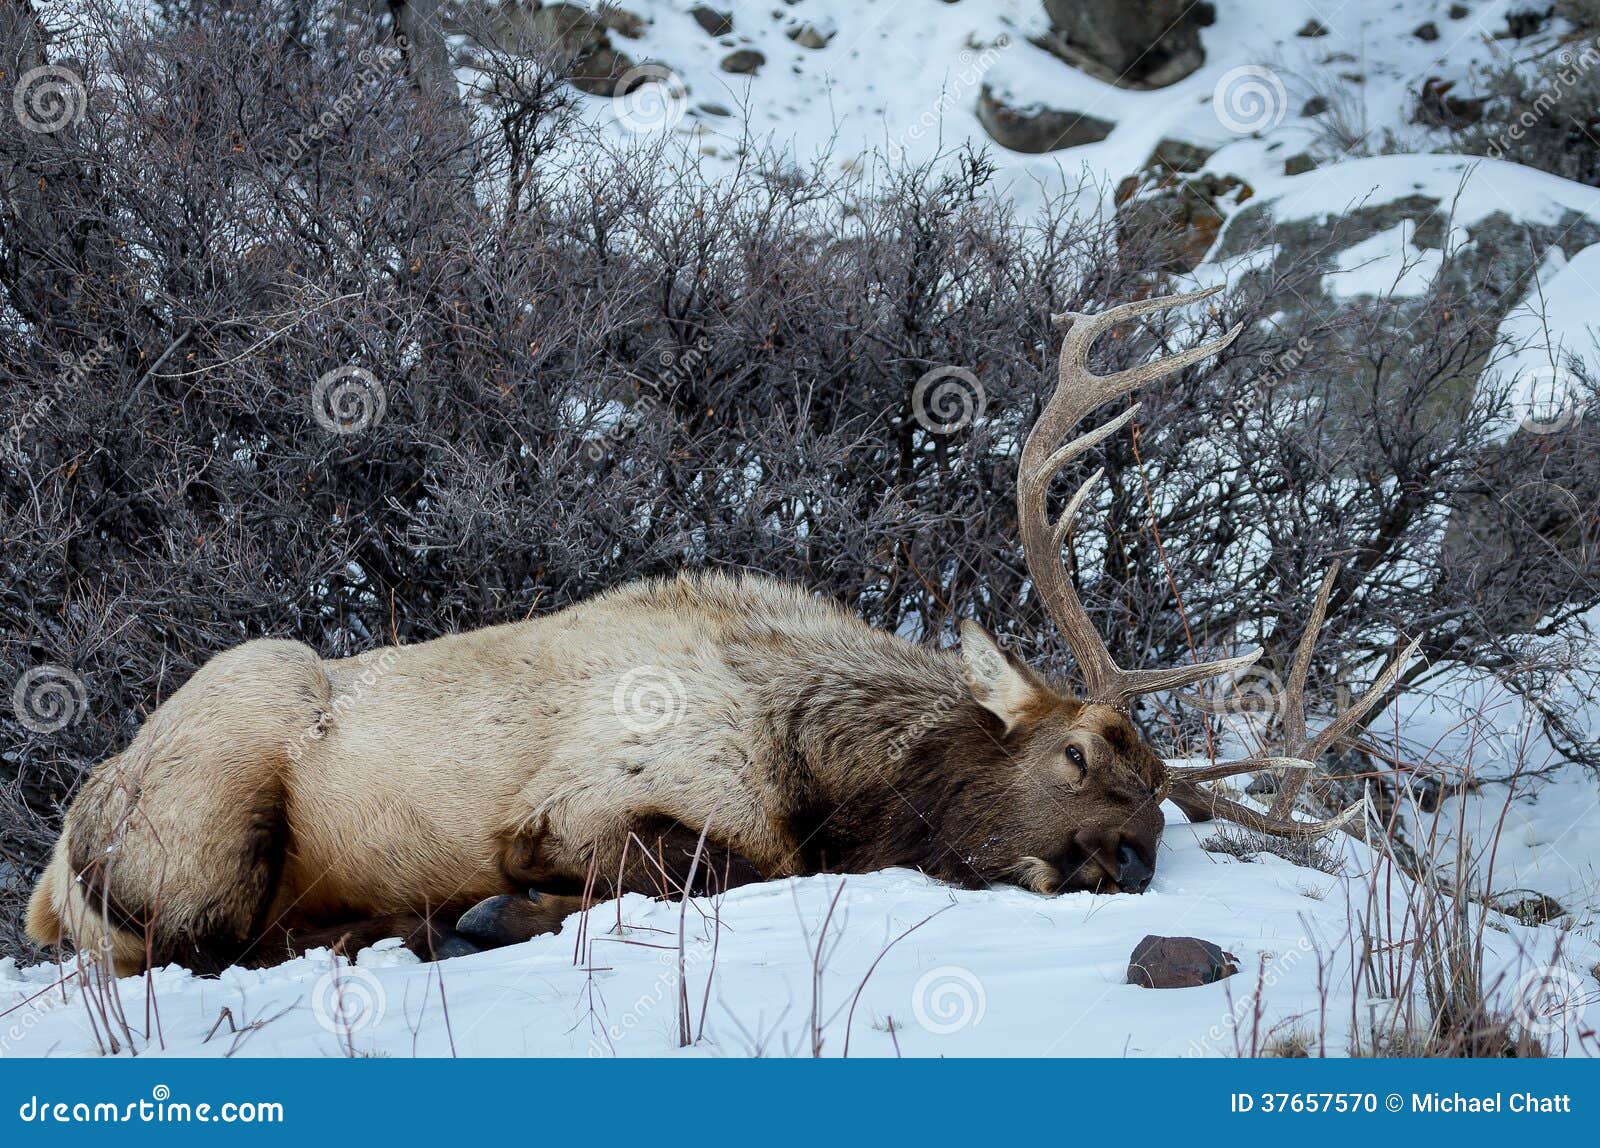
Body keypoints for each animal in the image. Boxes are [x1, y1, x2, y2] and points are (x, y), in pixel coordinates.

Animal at [26, 286, 1408, 976]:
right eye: (1075, 753)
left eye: (1163, 803)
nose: (1123, 863)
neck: (826, 762)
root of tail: (42, 881)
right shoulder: (586, 799)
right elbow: (719, 867)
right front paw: (496, 907)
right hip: (219, 780)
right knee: (202, 943)